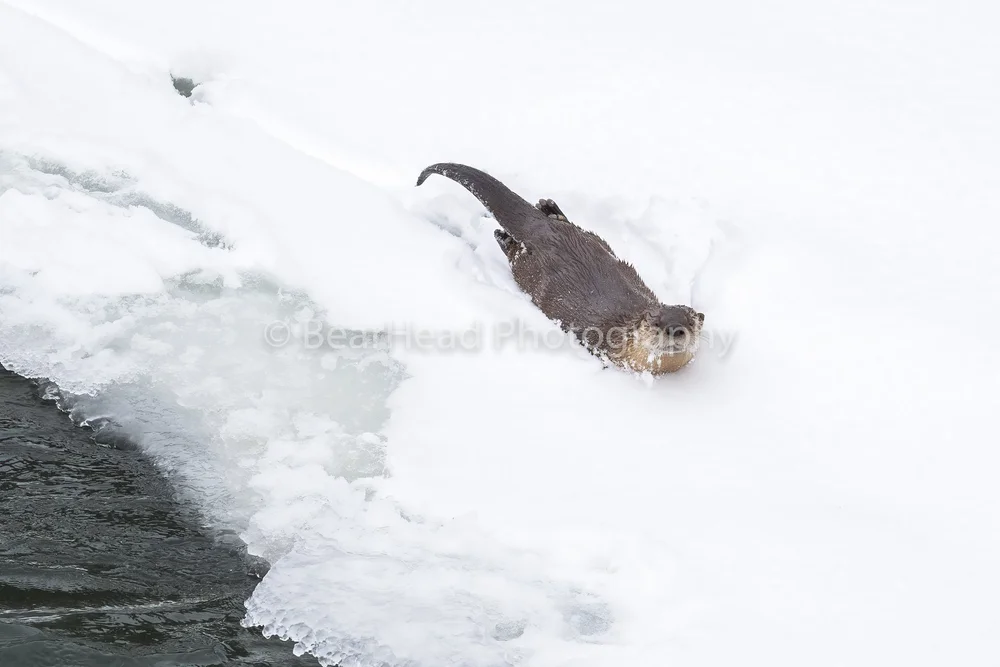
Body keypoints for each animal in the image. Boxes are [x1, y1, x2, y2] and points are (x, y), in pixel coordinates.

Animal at [416, 163, 705, 374]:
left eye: (689, 321)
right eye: (655, 321)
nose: (675, 329)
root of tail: (543, 231)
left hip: (593, 238)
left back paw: (550, 209)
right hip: (529, 269)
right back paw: (510, 235)